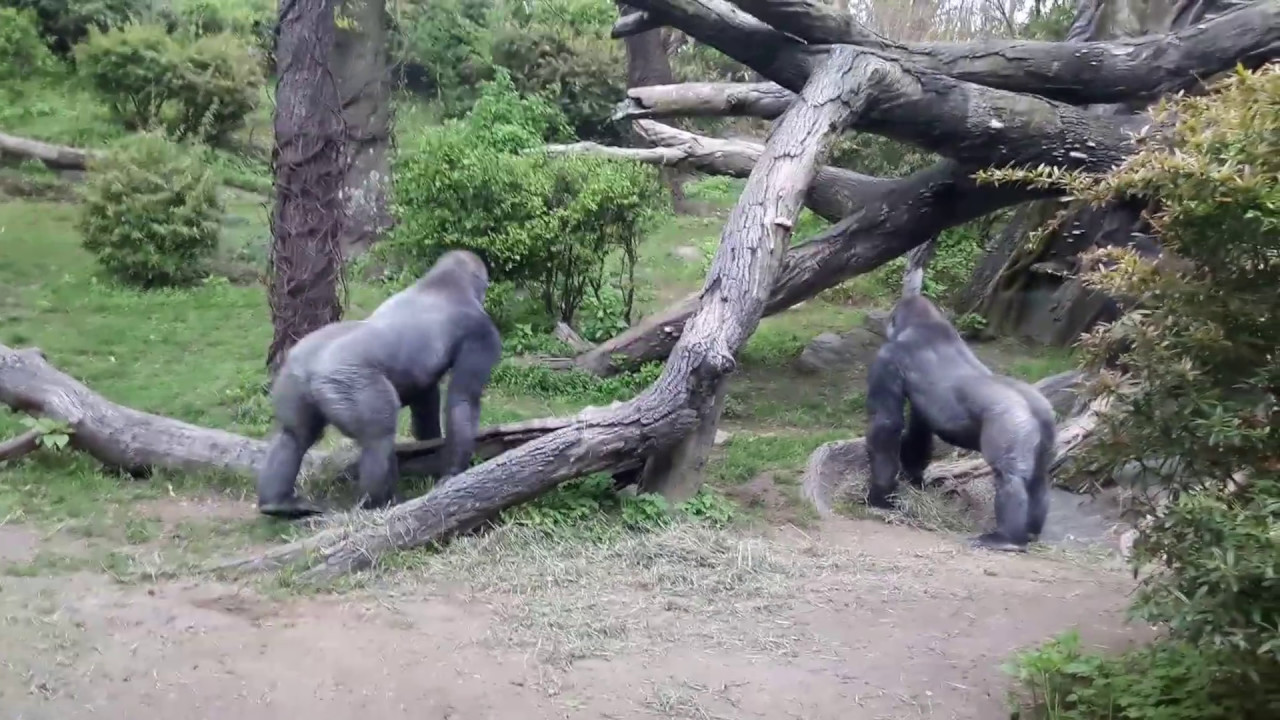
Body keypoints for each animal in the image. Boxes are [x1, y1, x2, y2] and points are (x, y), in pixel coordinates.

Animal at [256, 250, 501, 519]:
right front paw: (454, 472)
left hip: (293, 376)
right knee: (379, 434)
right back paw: (380, 502)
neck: (444, 283)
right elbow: (463, 400)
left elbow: (426, 399)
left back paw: (277, 503)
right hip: (347, 381)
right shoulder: (482, 331)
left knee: (293, 436)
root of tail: (311, 368)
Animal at [864, 294, 1056, 552]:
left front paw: (880, 497)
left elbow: (886, 423)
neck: (925, 323)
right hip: (1046, 422)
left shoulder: (888, 357)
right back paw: (1031, 532)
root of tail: (1031, 405)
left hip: (1009, 421)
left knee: (1008, 476)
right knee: (1038, 478)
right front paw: (912, 479)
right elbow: (918, 431)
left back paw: (1006, 539)